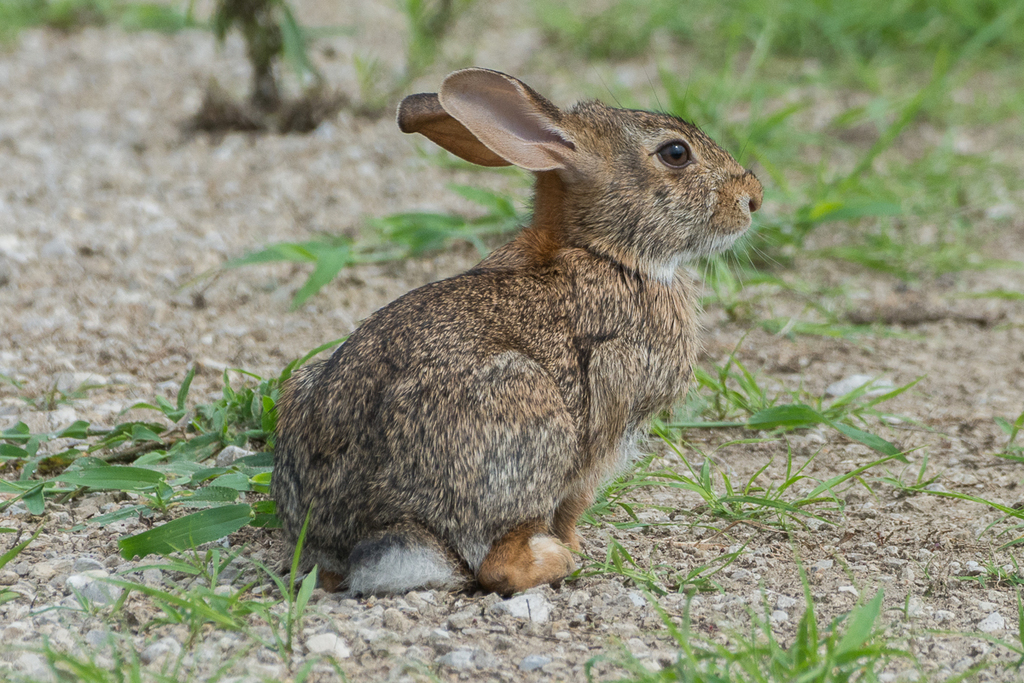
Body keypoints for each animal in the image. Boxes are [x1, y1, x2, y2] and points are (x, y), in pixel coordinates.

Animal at [271, 68, 762, 596]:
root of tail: (357, 533)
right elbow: (575, 504)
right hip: (525, 418)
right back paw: (558, 561)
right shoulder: (608, 419)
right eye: (675, 153)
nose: (752, 197)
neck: (606, 251)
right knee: (496, 565)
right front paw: (577, 547)